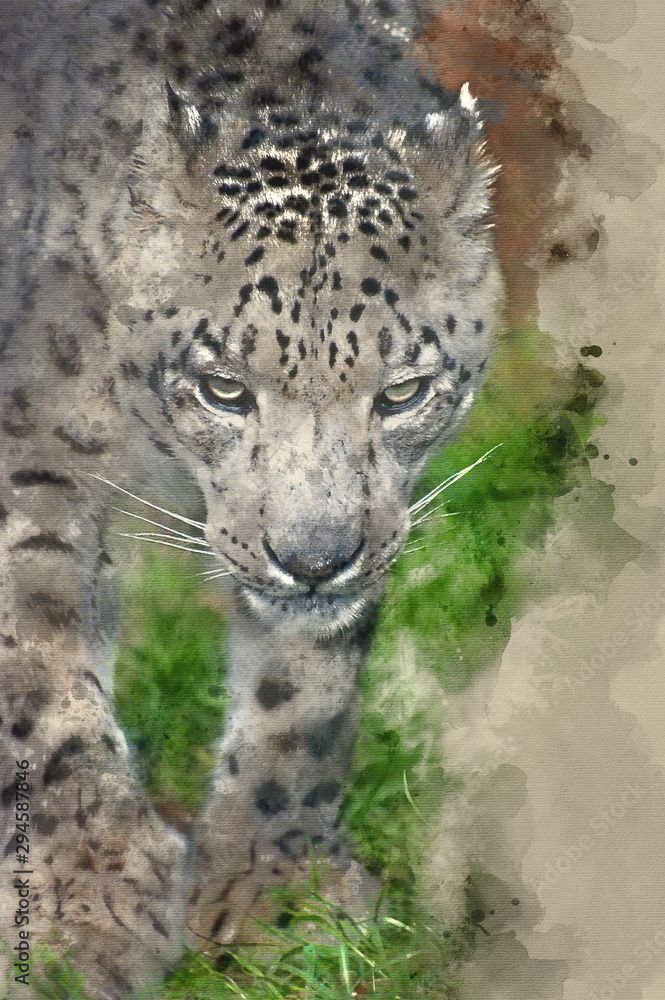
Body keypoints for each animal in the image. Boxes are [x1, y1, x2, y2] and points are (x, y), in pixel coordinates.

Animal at [0, 0, 500, 996]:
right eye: (224, 387)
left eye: (402, 392)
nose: (313, 561)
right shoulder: (35, 452)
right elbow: (39, 664)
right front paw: (85, 902)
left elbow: (303, 693)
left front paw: (277, 887)